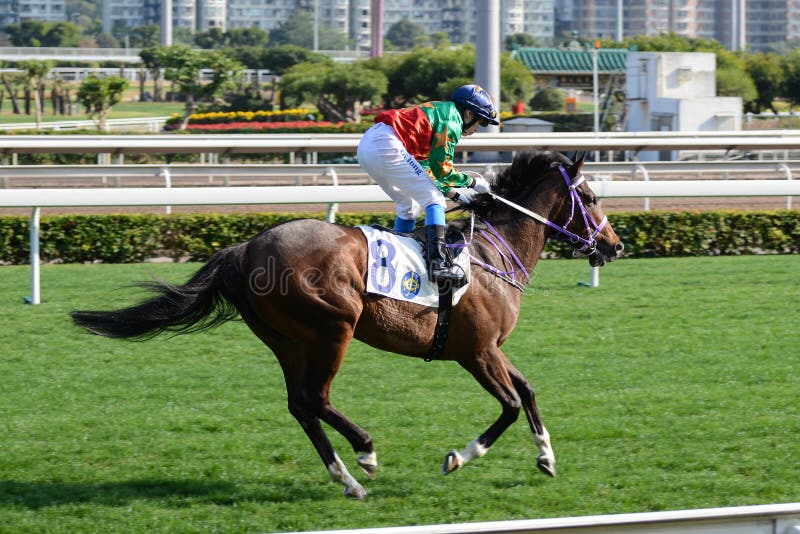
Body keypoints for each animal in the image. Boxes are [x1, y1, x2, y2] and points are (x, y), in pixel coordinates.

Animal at [71, 150, 624, 499]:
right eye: (593, 198)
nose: (615, 246)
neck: (491, 256)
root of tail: (246, 248)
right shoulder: (476, 351)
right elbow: (509, 404)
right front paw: (459, 456)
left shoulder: (489, 348)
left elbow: (527, 390)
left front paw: (547, 457)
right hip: (332, 327)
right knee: (316, 398)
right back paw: (365, 454)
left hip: (287, 341)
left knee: (300, 405)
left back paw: (347, 480)